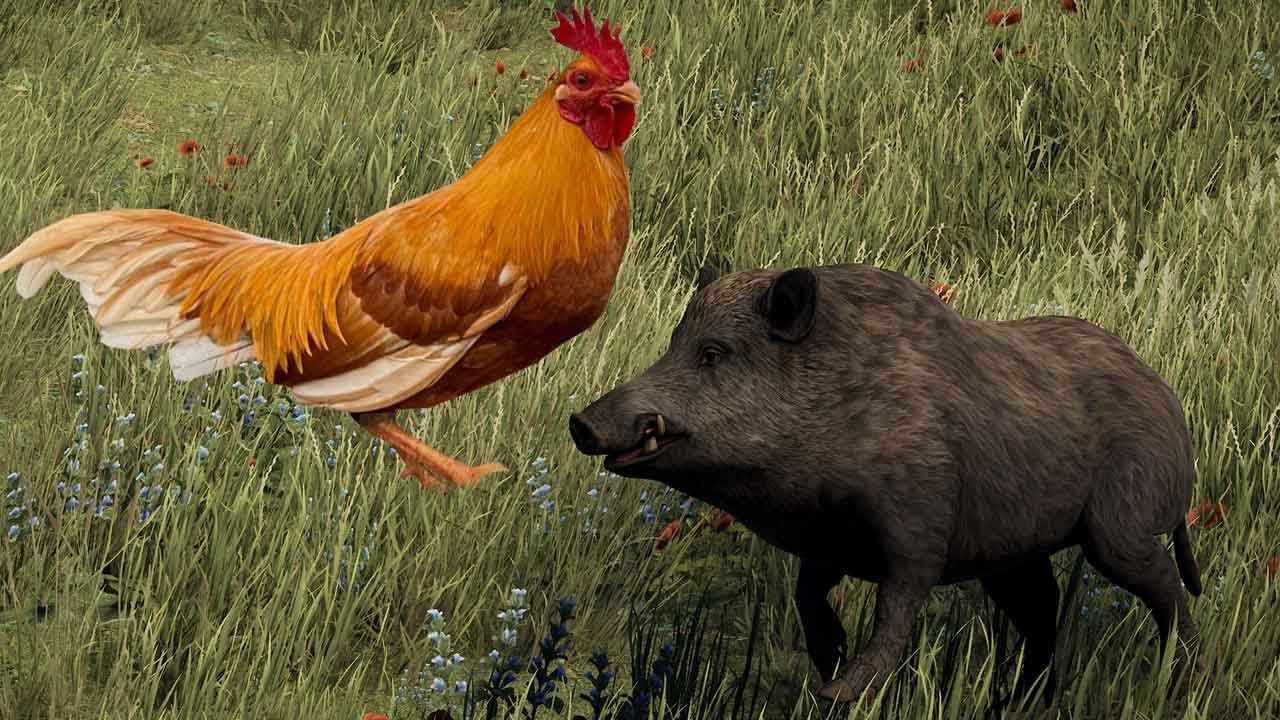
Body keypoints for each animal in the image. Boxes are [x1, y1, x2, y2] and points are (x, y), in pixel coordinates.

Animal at [568, 263, 1203, 707]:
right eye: (674, 343)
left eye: (712, 354)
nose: (581, 422)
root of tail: (1170, 402)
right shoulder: (831, 540)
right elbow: (807, 595)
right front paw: (827, 663)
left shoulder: (918, 522)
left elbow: (895, 612)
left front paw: (836, 694)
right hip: (1013, 551)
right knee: (1041, 612)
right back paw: (1018, 701)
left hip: (1121, 523)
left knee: (1168, 590)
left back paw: (1181, 681)